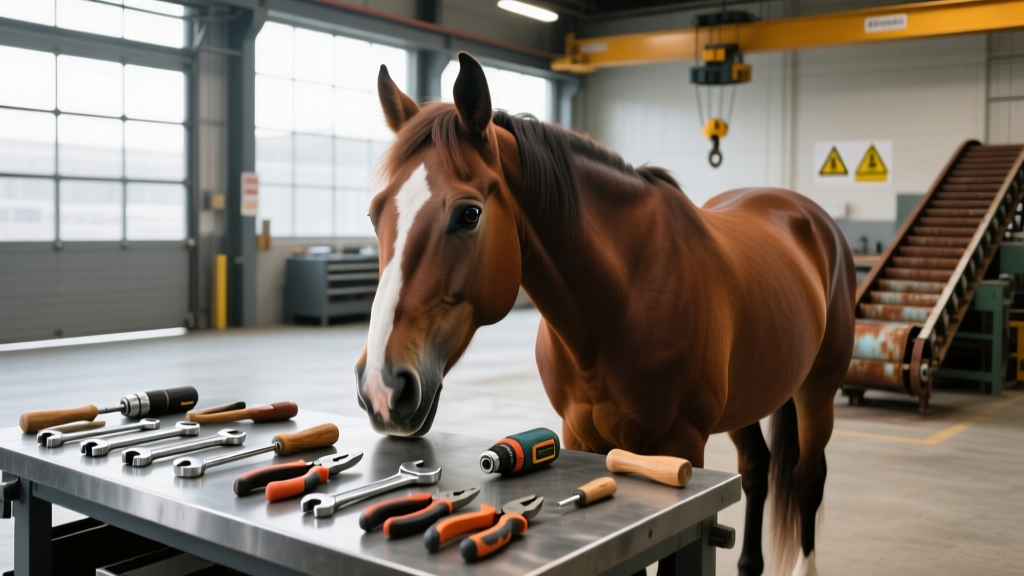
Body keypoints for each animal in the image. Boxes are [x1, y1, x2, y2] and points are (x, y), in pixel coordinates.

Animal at [354, 52, 855, 576]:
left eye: (469, 214)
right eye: (374, 214)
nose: (383, 389)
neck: (622, 302)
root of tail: (804, 214)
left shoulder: (684, 445)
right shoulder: (578, 436)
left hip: (817, 391)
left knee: (808, 478)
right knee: (757, 470)